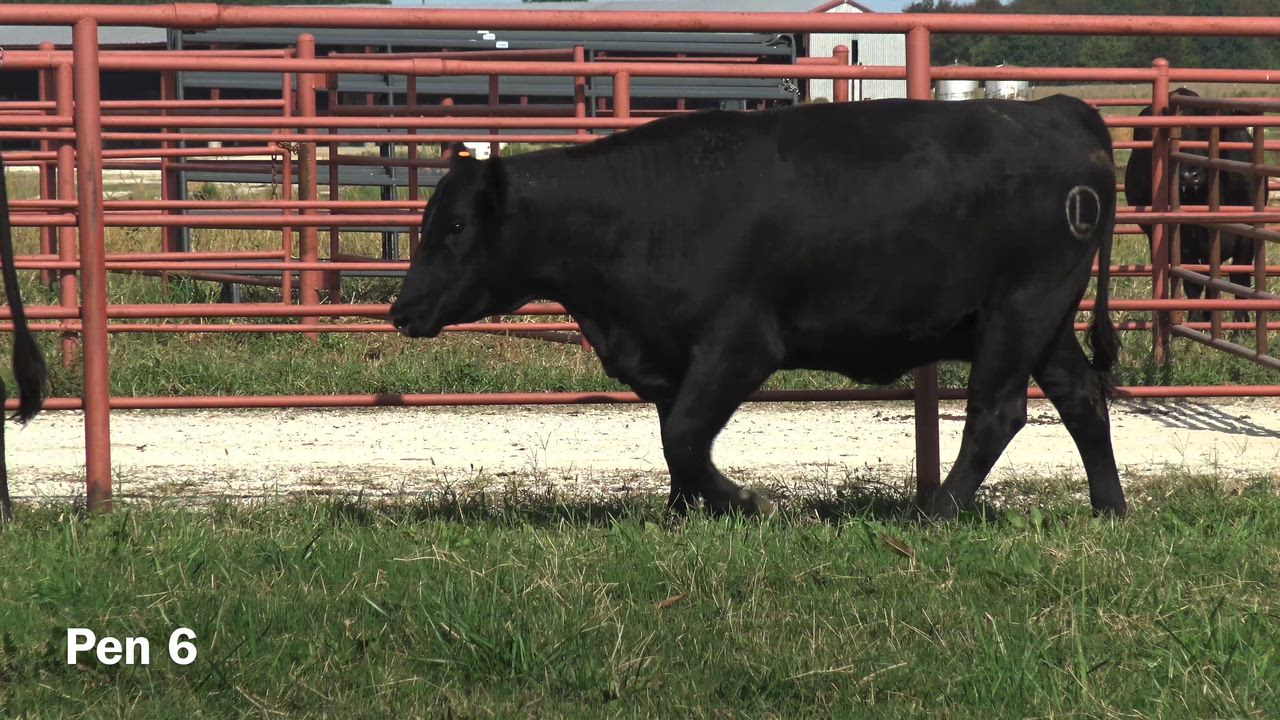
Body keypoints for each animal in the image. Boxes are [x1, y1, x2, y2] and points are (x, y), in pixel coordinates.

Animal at [390, 96, 1125, 519]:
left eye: (456, 226)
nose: (402, 310)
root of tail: (1061, 109)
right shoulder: (669, 356)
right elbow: (675, 438)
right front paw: (686, 514)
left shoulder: (739, 345)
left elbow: (686, 434)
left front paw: (750, 502)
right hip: (1046, 323)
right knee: (1082, 397)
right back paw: (1108, 509)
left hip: (1018, 312)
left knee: (996, 413)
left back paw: (937, 513)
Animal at [1124, 88, 1258, 323]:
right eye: (1175, 136)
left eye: (1207, 132)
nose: (1189, 175)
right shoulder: (1183, 240)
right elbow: (1192, 282)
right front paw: (1195, 321)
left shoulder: (1246, 235)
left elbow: (1239, 280)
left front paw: (1241, 324)